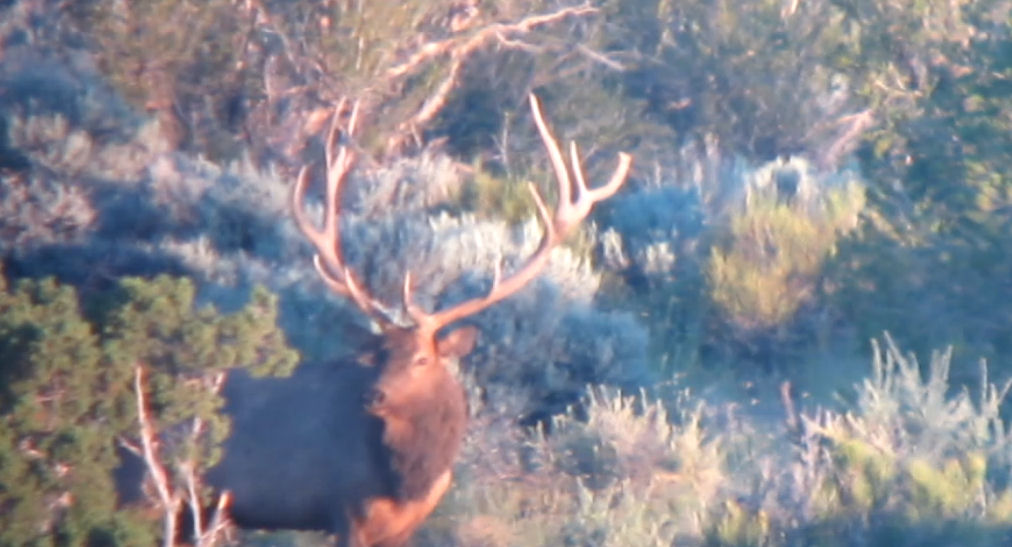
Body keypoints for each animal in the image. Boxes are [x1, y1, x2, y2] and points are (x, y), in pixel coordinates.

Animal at [208, 94, 631, 546]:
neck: (409, 482)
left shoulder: (406, 526)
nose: (372, 396)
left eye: (422, 359)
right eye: (375, 355)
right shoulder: (345, 513)